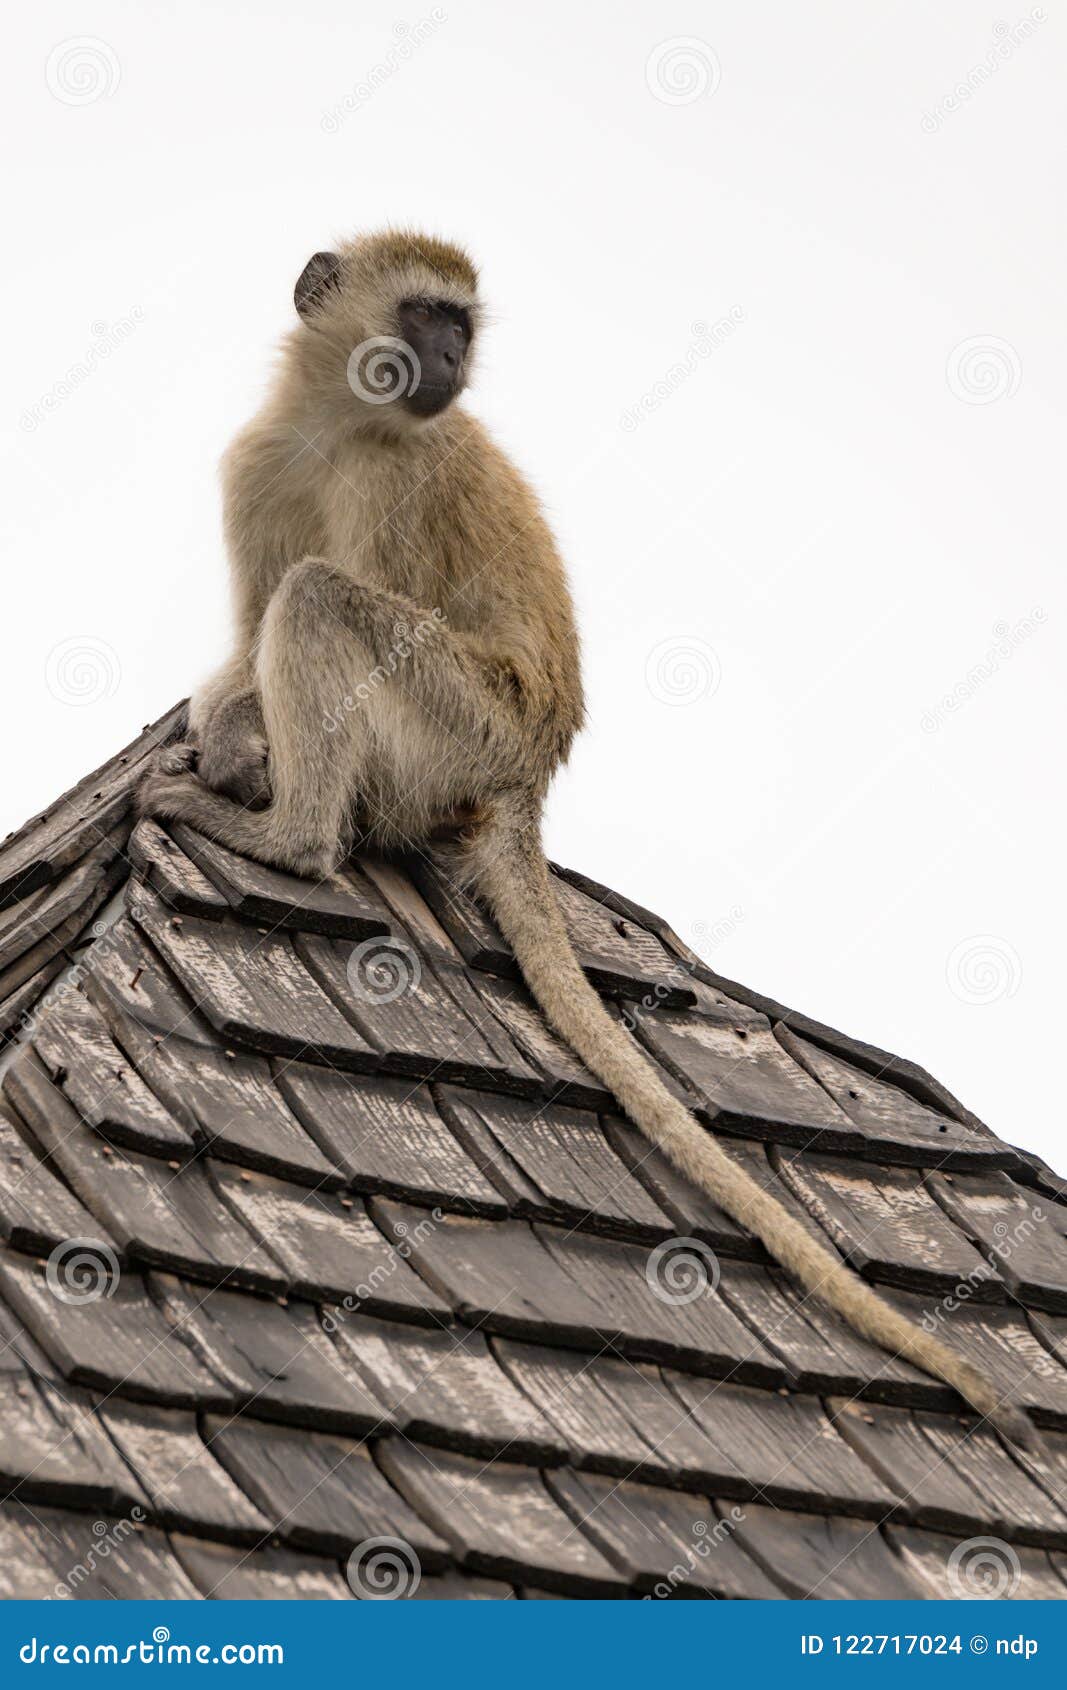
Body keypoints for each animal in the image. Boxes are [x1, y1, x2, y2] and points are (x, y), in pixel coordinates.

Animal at [139, 229, 1038, 1451]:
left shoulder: (405, 484)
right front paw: (224, 739)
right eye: (425, 316)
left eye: (458, 325)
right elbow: (241, 646)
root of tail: (528, 778)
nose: (449, 361)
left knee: (325, 600)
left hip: (460, 731)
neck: (338, 418)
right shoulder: (257, 462)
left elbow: (306, 605)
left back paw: (297, 844)